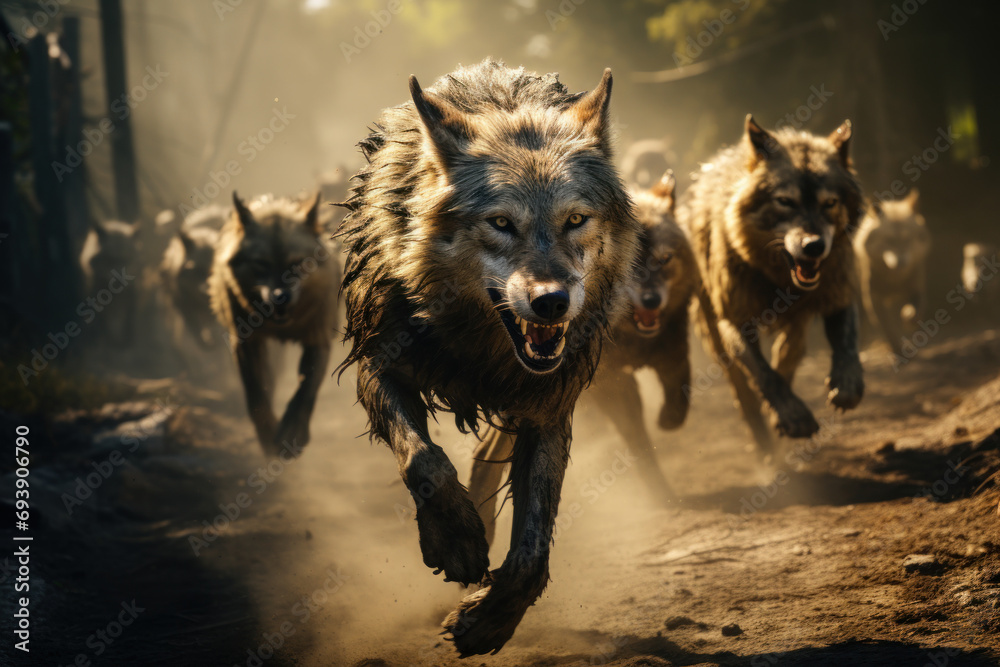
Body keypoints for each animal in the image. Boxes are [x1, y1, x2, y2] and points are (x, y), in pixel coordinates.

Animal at [208, 192, 339, 456]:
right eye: (262, 264)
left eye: (297, 264)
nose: (281, 297)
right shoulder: (244, 343)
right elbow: (256, 394)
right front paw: (269, 437)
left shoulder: (318, 340)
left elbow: (305, 390)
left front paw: (292, 434)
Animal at [337, 59, 640, 656]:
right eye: (501, 223)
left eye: (576, 220)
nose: (552, 302)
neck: (474, 344)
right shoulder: (379, 366)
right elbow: (423, 459)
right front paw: (455, 540)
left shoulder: (549, 405)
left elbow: (532, 551)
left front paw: (488, 622)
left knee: (490, 456)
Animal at [469, 171, 694, 535]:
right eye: (632, 264)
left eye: (664, 260)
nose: (651, 300)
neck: (628, 335)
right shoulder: (613, 385)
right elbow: (638, 442)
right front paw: (659, 493)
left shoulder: (671, 343)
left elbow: (681, 387)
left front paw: (668, 419)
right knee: (484, 452)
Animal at [680, 115, 865, 457]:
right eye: (785, 202)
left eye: (830, 203)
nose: (814, 246)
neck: (779, 280)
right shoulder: (735, 322)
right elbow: (766, 376)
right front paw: (792, 418)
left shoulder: (839, 295)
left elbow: (846, 346)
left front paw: (847, 386)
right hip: (712, 333)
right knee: (745, 392)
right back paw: (765, 443)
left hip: (797, 321)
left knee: (791, 349)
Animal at [854, 189, 930, 354]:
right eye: (888, 240)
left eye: (907, 239)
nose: (901, 262)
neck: (893, 281)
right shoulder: (874, 298)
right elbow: (887, 327)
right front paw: (898, 349)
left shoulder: (917, 287)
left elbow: (918, 309)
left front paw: (909, 320)